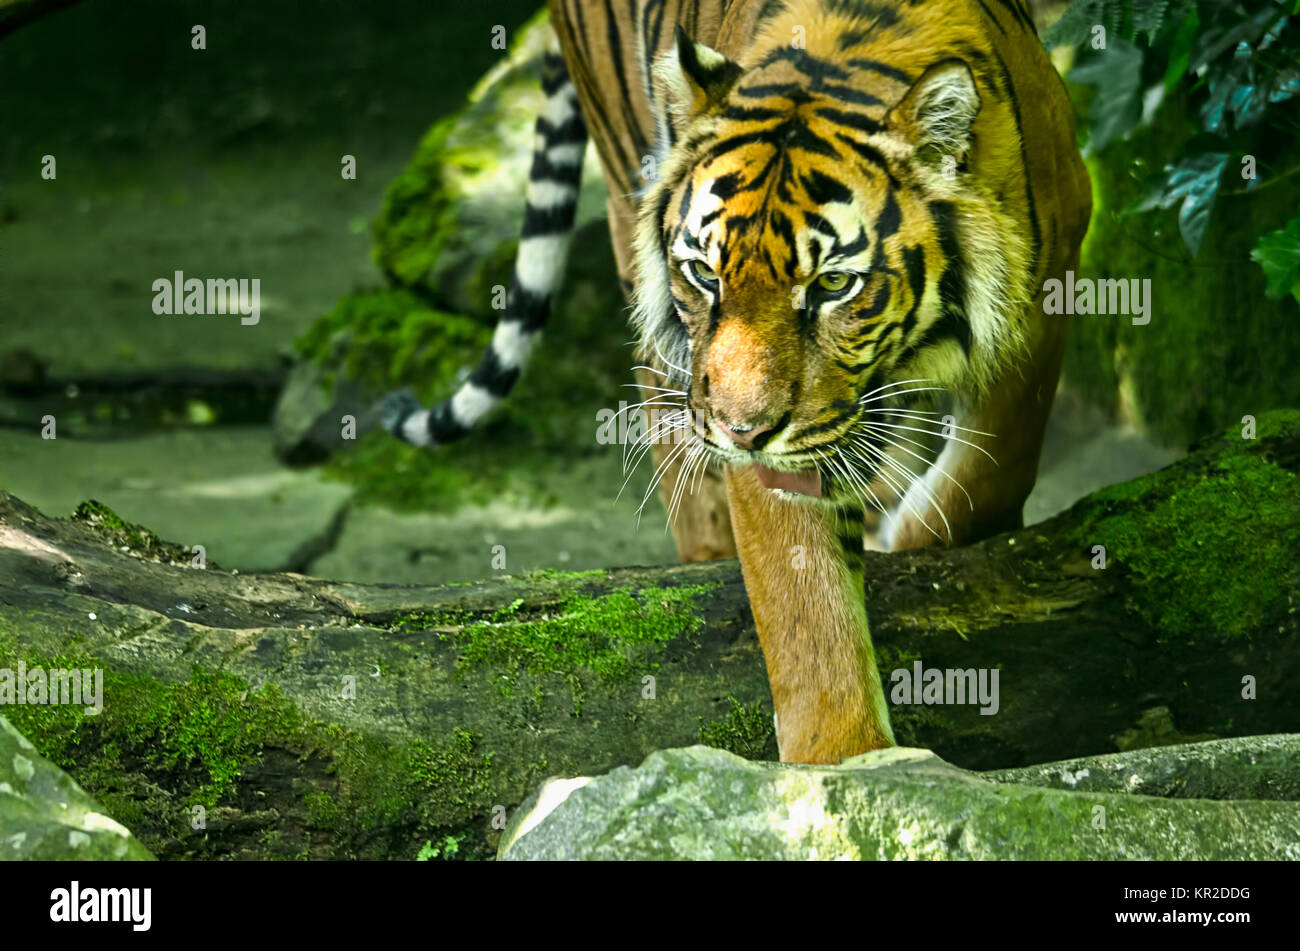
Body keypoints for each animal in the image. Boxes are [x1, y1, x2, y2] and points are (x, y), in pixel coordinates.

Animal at [381, 0, 1091, 765]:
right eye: (704, 274)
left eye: (833, 284)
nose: (741, 431)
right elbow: (805, 604)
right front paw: (845, 761)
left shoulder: (1049, 278)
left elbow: (997, 470)